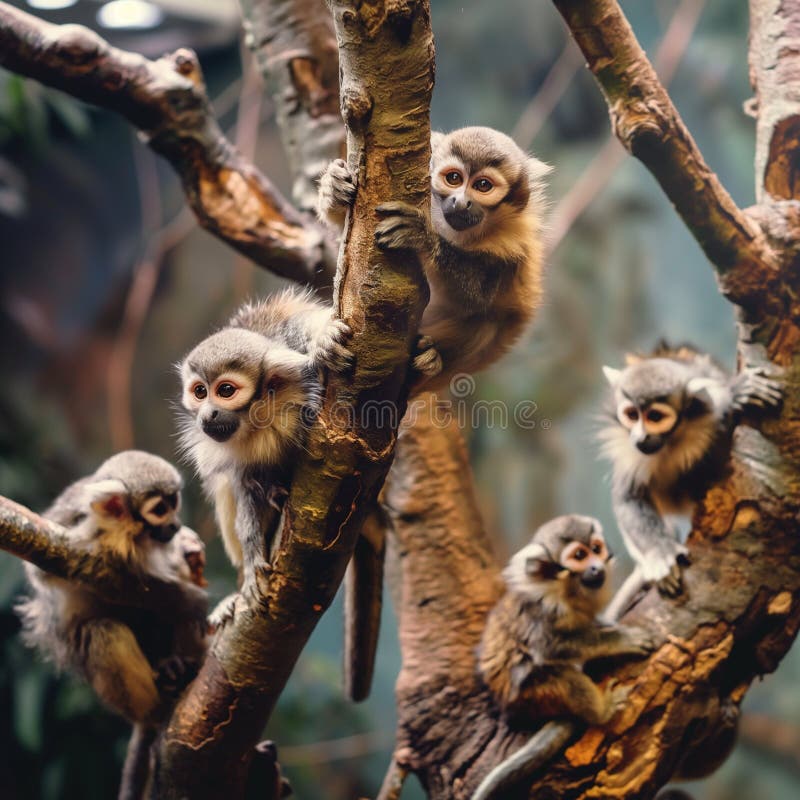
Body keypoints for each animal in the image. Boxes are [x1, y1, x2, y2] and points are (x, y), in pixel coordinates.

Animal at [177, 287, 353, 601]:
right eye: (199, 392)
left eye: (225, 391)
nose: (208, 414)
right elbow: (245, 495)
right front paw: (252, 564)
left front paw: (324, 338)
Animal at [317, 126, 551, 392]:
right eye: (454, 179)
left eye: (482, 185)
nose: (461, 201)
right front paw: (333, 189)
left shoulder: (512, 248)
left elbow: (475, 298)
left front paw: (424, 238)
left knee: (486, 323)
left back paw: (427, 363)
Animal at [472, 515, 656, 800]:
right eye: (579, 555)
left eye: (596, 549)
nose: (596, 567)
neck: (567, 591)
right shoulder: (542, 611)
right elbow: (550, 647)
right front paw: (621, 640)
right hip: (529, 699)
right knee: (559, 676)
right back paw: (602, 712)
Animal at [599, 343, 782, 618]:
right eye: (632, 415)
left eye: (654, 417)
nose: (640, 437)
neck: (672, 440)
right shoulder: (629, 450)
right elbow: (627, 498)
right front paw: (660, 556)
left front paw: (736, 393)